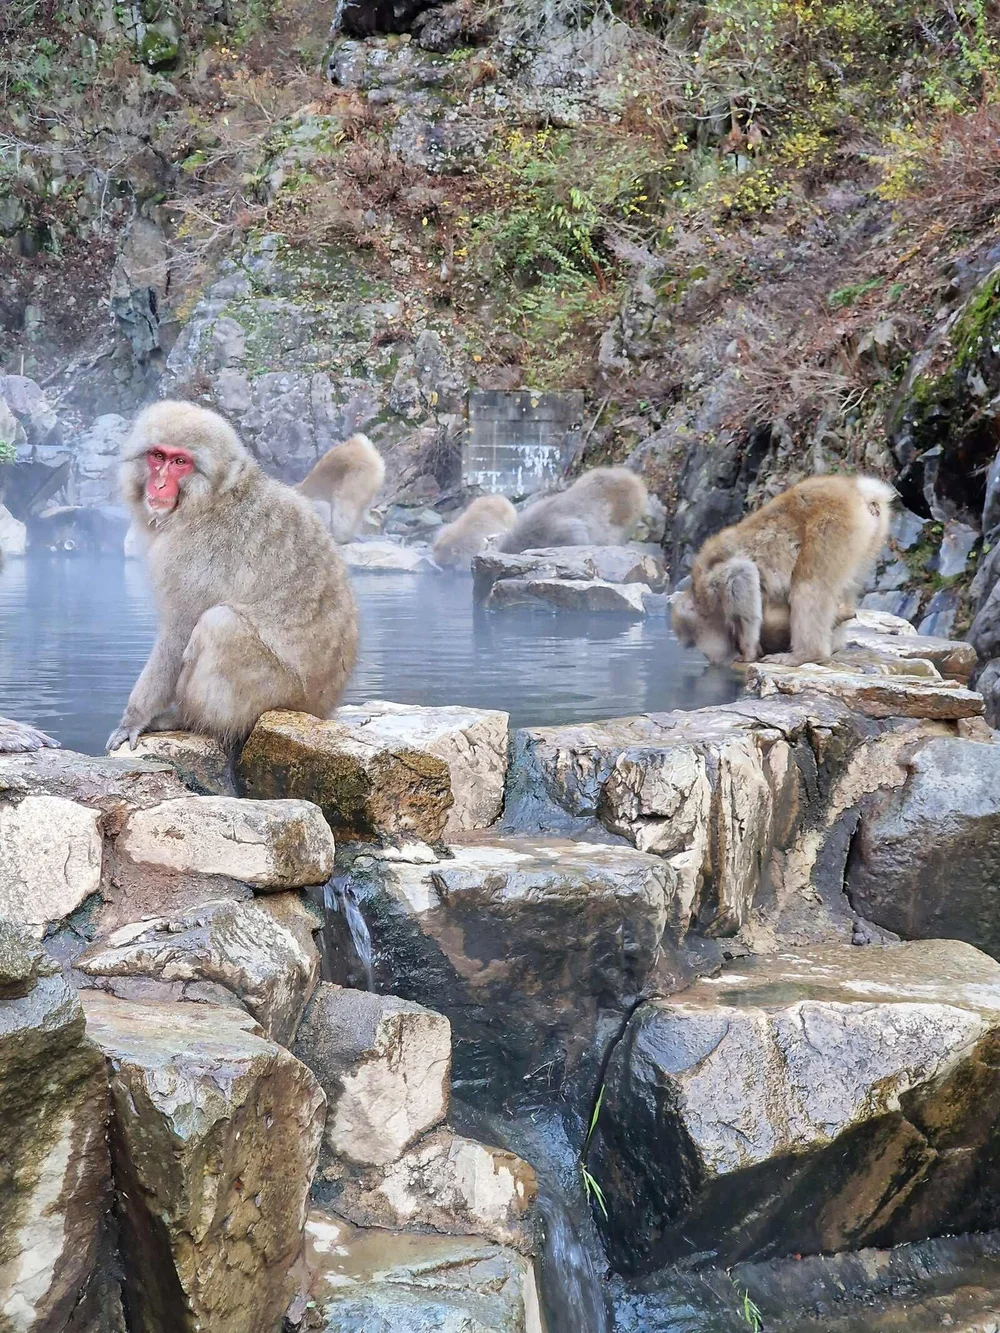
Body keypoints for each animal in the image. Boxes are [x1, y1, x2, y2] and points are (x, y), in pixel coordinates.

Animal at [106, 400, 358, 754]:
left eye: (180, 462)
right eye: (157, 456)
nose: (159, 485)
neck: (211, 501)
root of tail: (323, 707)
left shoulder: (190, 557)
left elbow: (178, 634)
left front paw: (134, 718)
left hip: (278, 692)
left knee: (219, 624)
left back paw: (190, 719)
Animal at [670, 474, 894, 667]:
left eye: (691, 640)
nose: (707, 655)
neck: (699, 596)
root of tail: (858, 490)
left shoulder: (711, 585)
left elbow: (741, 573)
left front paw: (749, 651)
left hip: (834, 525)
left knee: (809, 585)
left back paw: (807, 654)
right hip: (868, 537)